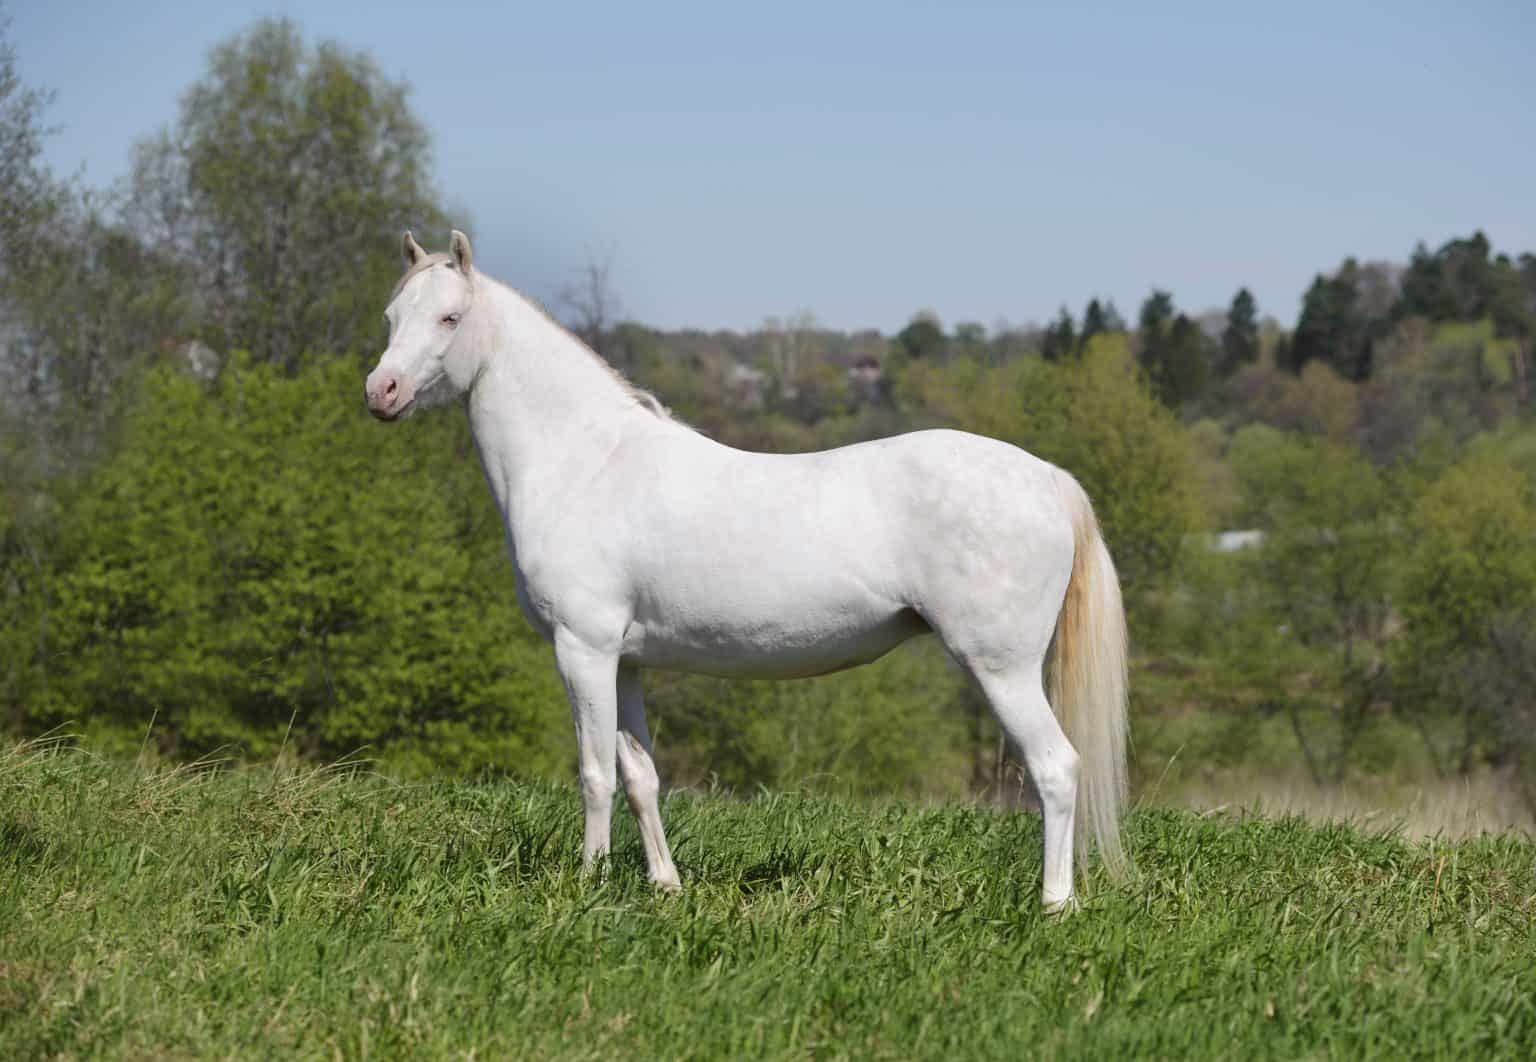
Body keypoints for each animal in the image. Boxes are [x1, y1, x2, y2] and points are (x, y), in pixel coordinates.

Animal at [364, 230, 1129, 912]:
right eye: (392, 315)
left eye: (450, 317)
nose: (382, 392)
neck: (587, 461)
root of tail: (1047, 477)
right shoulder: (625, 660)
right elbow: (640, 775)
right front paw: (663, 885)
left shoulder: (582, 649)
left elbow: (594, 774)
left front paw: (586, 884)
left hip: (1001, 667)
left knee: (1057, 768)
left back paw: (1054, 903)